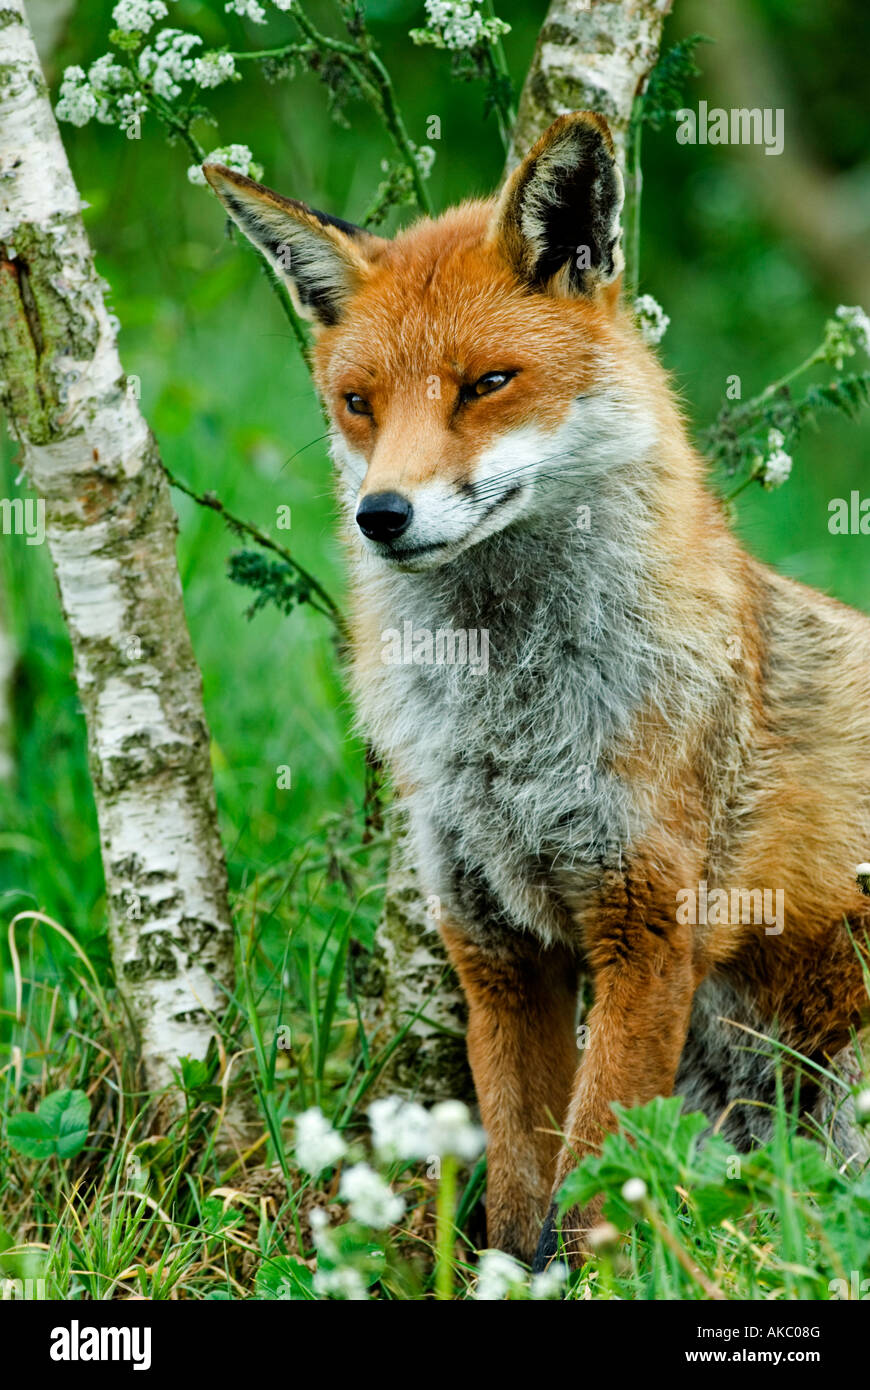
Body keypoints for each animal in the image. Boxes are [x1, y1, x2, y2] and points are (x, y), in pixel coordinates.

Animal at [205, 110, 870, 1267]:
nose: (382, 513)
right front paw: (512, 1276)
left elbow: (597, 1177)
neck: (506, 719)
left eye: (486, 383)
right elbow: (519, 1179)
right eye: (359, 403)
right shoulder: (496, 947)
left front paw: (590, 1274)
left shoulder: (649, 934)